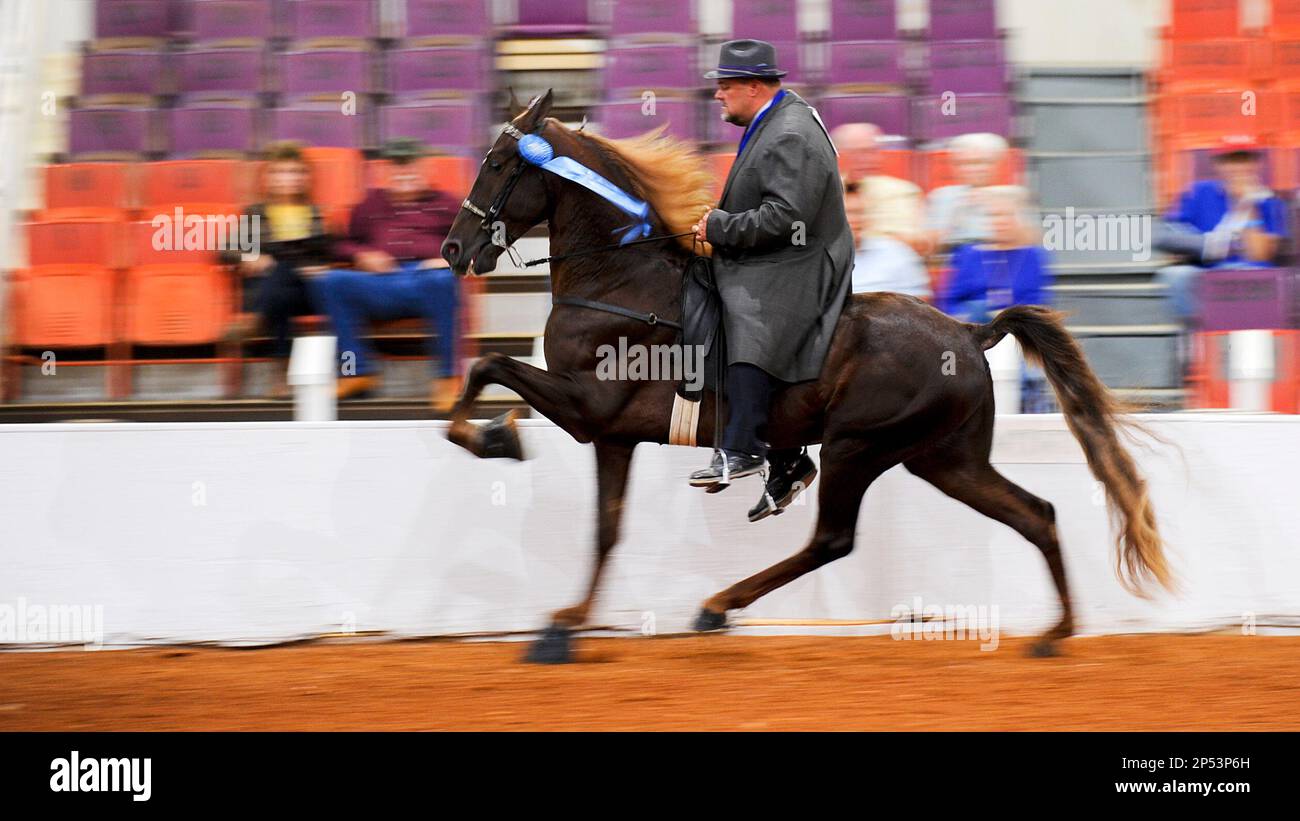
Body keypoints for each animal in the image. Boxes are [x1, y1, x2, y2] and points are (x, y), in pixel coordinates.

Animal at [438, 90, 1173, 662]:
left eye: (497, 163)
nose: (453, 249)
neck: (619, 280)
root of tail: (968, 333)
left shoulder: (590, 409)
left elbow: (489, 366)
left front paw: (494, 438)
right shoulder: (614, 436)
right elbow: (606, 528)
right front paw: (565, 625)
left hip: (859, 444)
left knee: (833, 539)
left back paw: (717, 605)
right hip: (943, 457)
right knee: (1036, 514)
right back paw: (1057, 633)